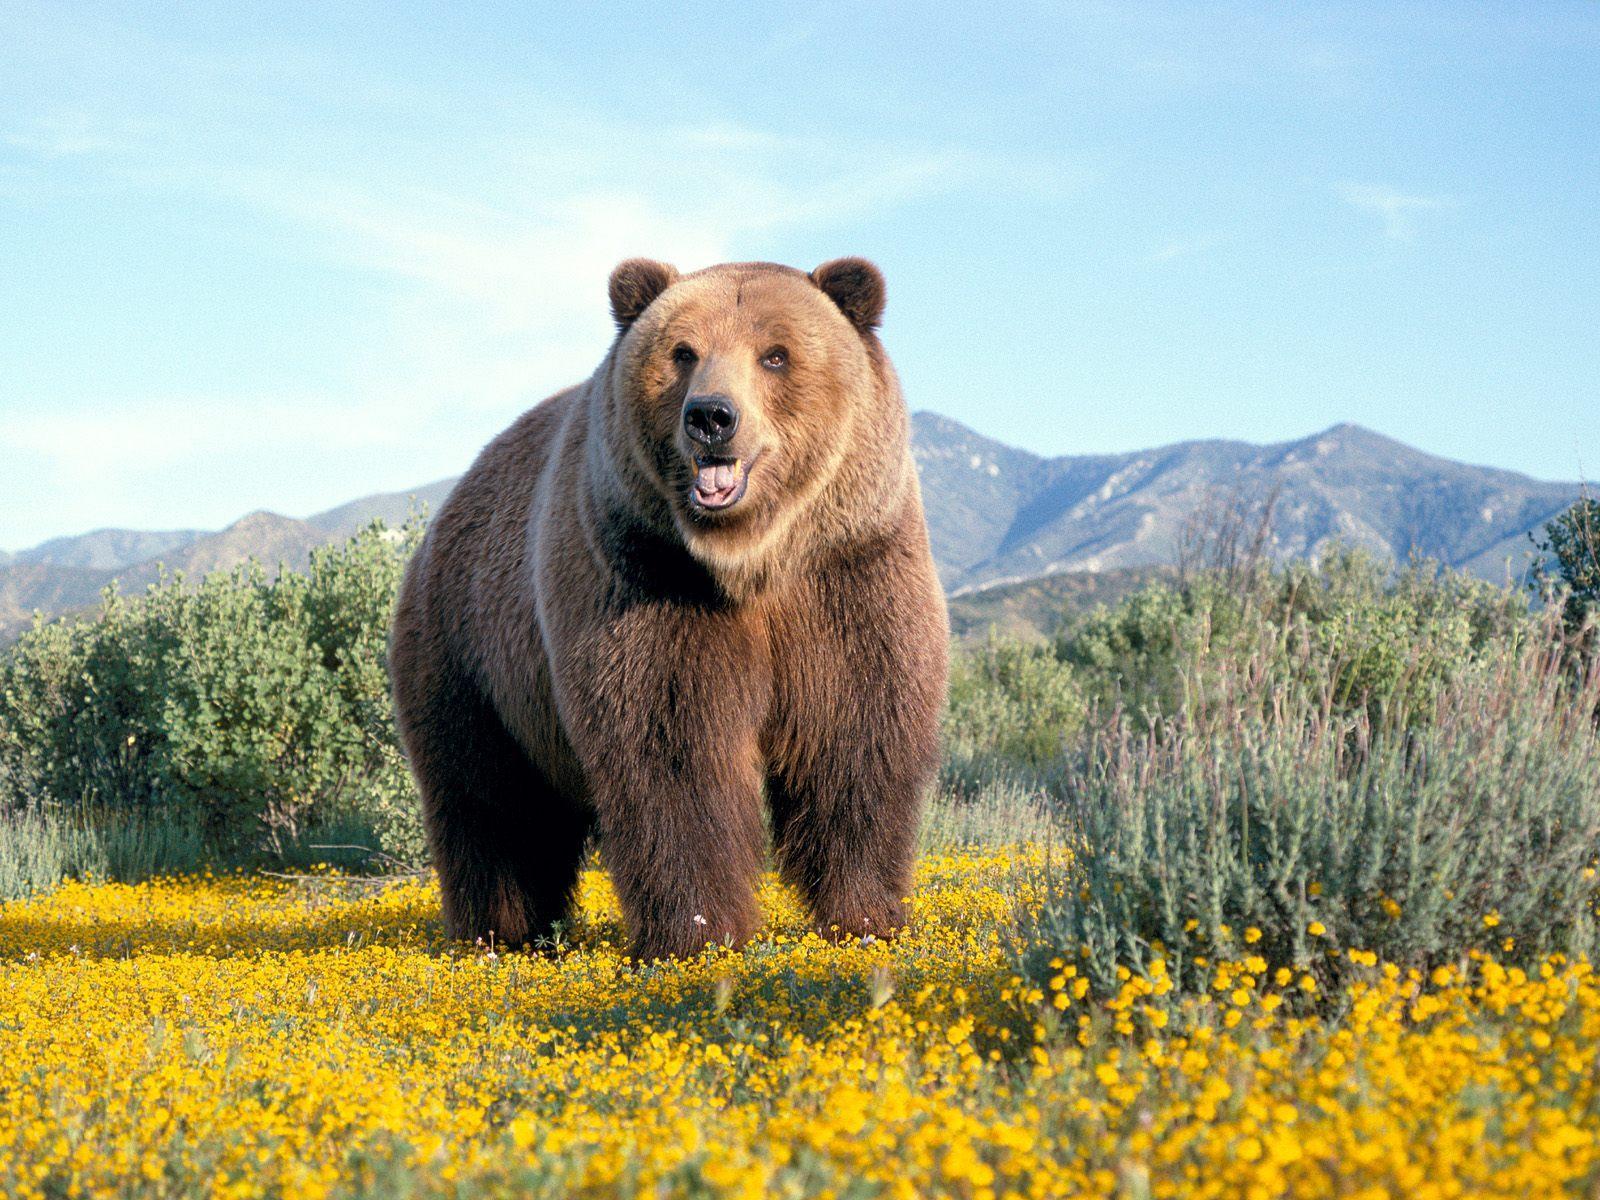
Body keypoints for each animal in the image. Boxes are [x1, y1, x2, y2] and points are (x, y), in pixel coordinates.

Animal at [388, 257, 949, 960]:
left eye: (775, 354)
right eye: (683, 352)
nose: (711, 416)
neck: (750, 559)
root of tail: (444, 512)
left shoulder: (848, 572)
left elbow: (856, 734)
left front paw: (866, 916)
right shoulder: (647, 580)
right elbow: (672, 750)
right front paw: (699, 933)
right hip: (472, 654)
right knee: (490, 802)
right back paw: (499, 932)